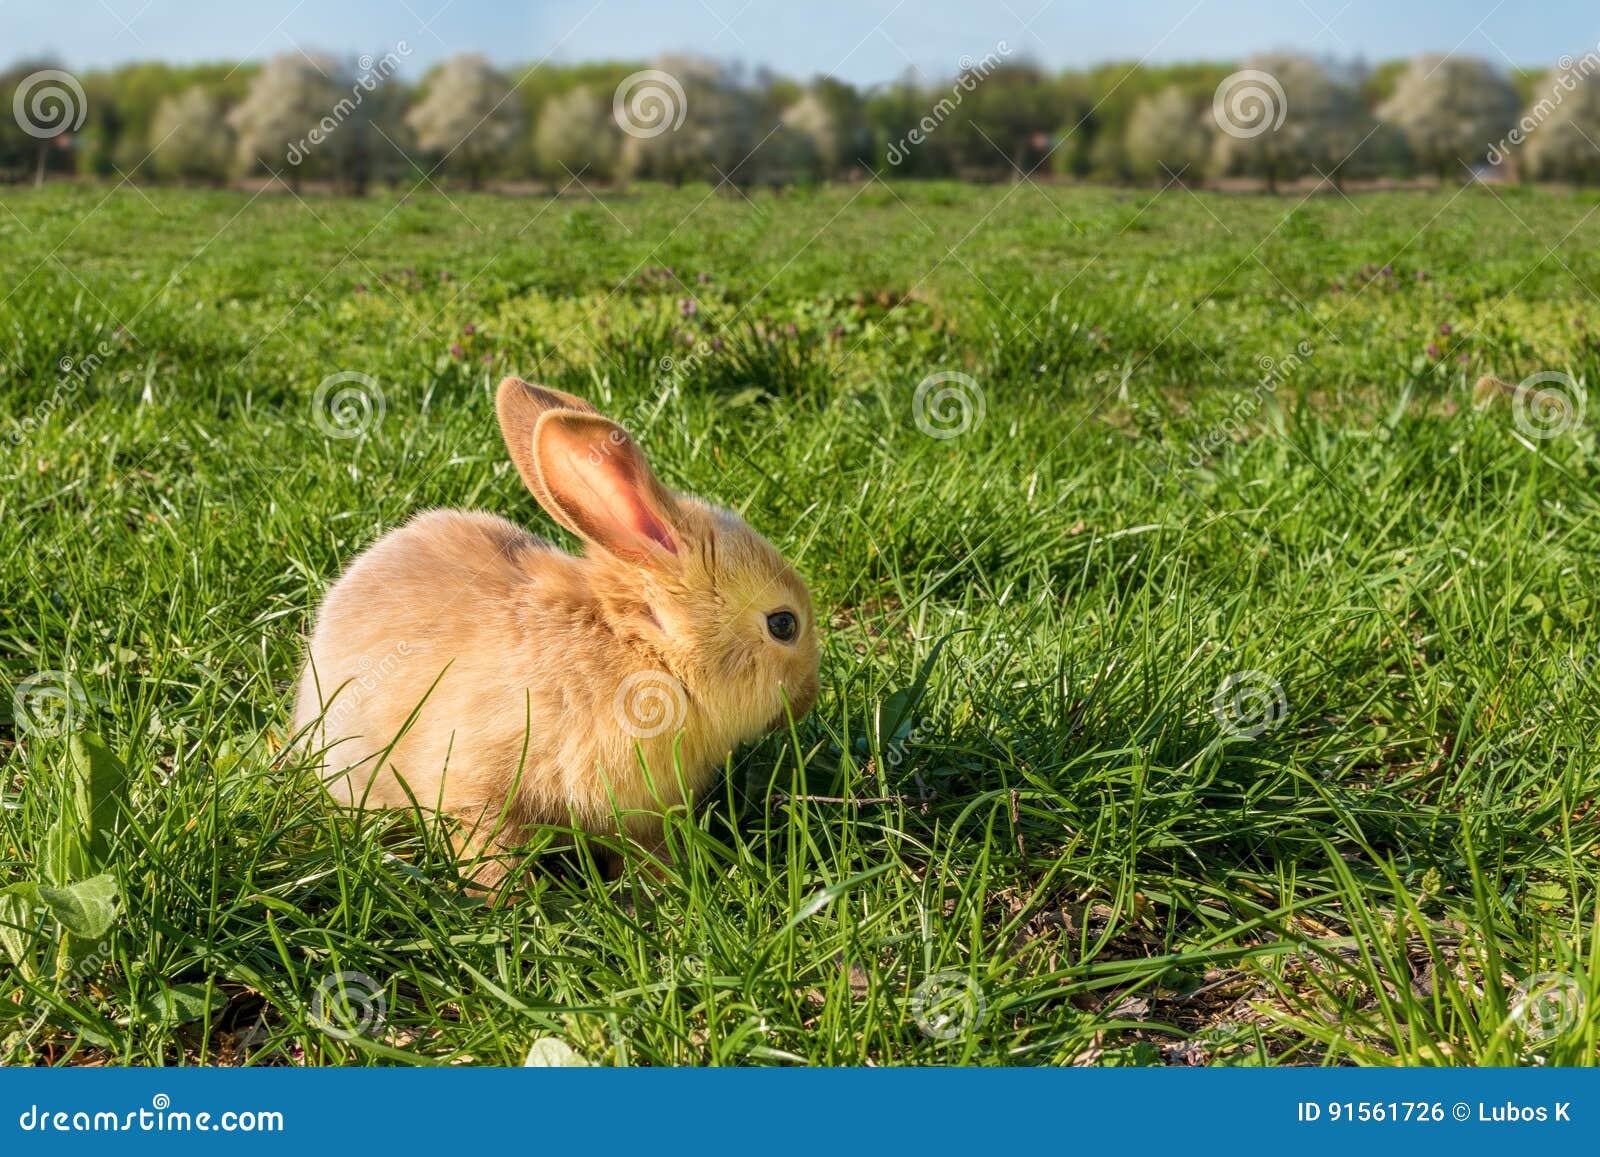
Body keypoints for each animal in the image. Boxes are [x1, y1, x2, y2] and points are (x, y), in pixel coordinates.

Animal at [292, 379, 821, 884]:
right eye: (783, 624)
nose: (806, 698)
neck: (643, 654)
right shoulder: (476, 787)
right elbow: (487, 851)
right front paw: (500, 901)